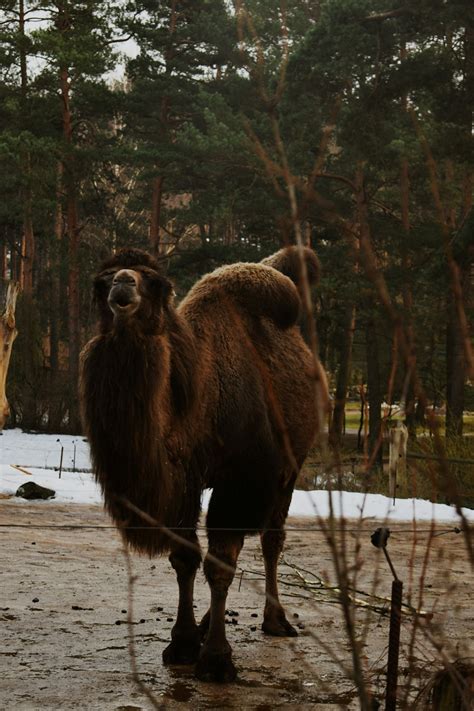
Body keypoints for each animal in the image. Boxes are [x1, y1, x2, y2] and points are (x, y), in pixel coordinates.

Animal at [80, 246, 328, 682]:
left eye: (155, 282)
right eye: (101, 280)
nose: (123, 285)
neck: (200, 405)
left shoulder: (242, 478)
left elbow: (221, 562)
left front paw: (215, 659)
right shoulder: (186, 482)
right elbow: (184, 558)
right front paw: (182, 643)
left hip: (291, 466)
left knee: (271, 539)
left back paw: (276, 620)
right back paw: (209, 622)